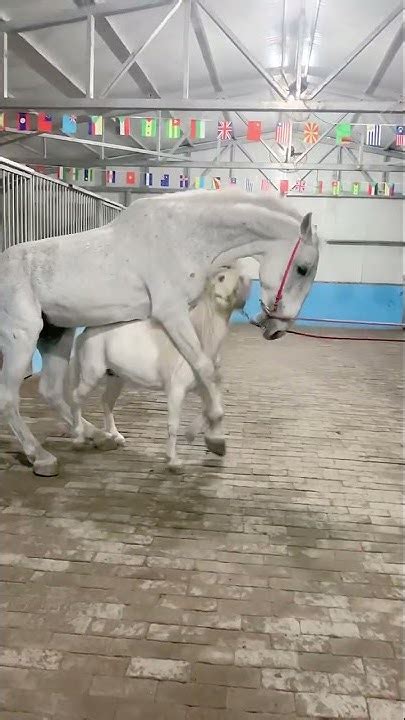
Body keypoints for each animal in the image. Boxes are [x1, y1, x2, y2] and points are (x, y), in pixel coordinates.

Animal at [67, 267, 250, 470]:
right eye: (222, 278)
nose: (245, 284)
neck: (196, 342)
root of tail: (86, 331)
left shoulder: (203, 387)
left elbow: (214, 410)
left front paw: (210, 442)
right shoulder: (176, 391)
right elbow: (174, 424)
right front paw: (173, 461)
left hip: (116, 378)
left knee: (106, 402)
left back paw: (116, 436)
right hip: (91, 375)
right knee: (75, 398)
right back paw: (78, 438)